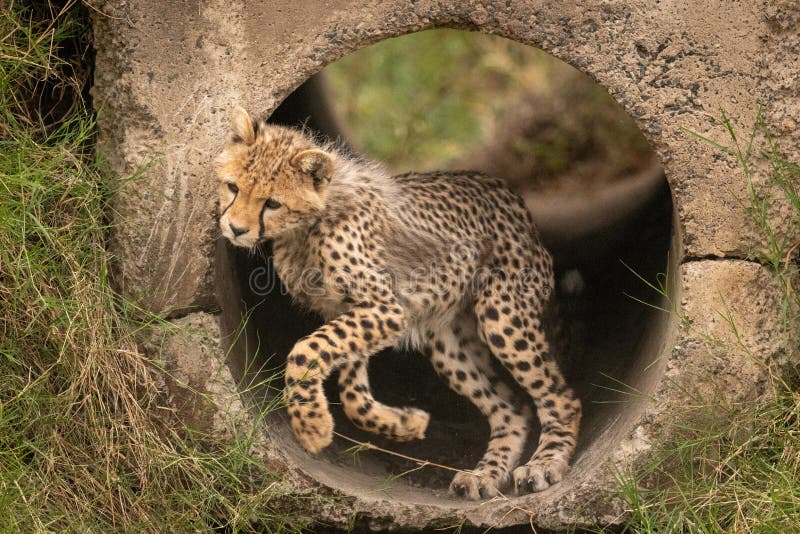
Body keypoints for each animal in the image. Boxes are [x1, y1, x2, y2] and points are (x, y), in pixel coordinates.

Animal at [214, 106, 582, 500]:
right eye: (233, 187)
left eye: (272, 203)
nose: (235, 229)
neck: (306, 227)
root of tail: (509, 195)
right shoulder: (348, 312)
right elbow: (352, 393)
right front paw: (403, 423)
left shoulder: (385, 308)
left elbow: (306, 350)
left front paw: (312, 427)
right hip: (447, 341)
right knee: (511, 409)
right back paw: (485, 473)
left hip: (502, 316)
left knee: (561, 397)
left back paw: (544, 464)